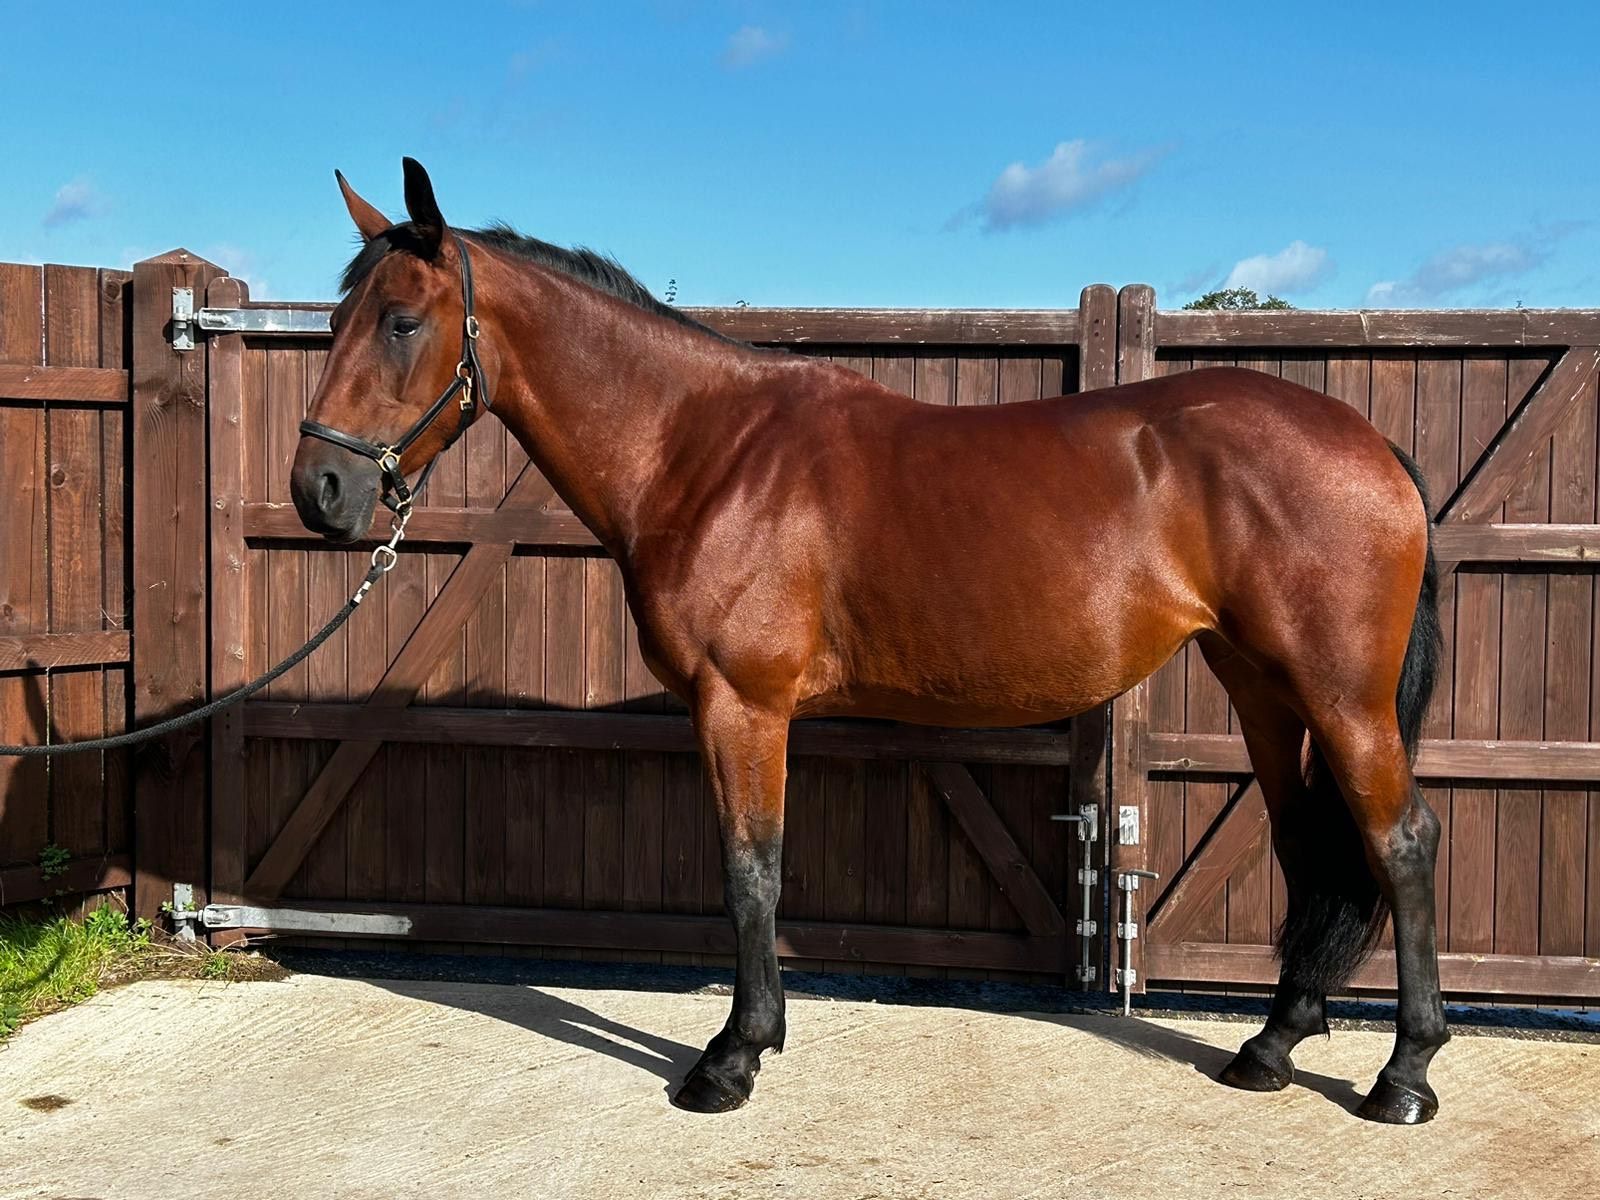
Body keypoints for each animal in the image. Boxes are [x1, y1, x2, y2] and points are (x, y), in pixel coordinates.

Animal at [291, 159, 1447, 1125]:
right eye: (338, 317)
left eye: (401, 321)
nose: (320, 491)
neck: (703, 451)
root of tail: (1371, 443)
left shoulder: (742, 705)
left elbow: (749, 872)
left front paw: (731, 1058)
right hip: (1263, 689)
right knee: (1308, 846)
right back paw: (1270, 1045)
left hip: (1341, 697)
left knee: (1400, 842)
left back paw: (1403, 1076)